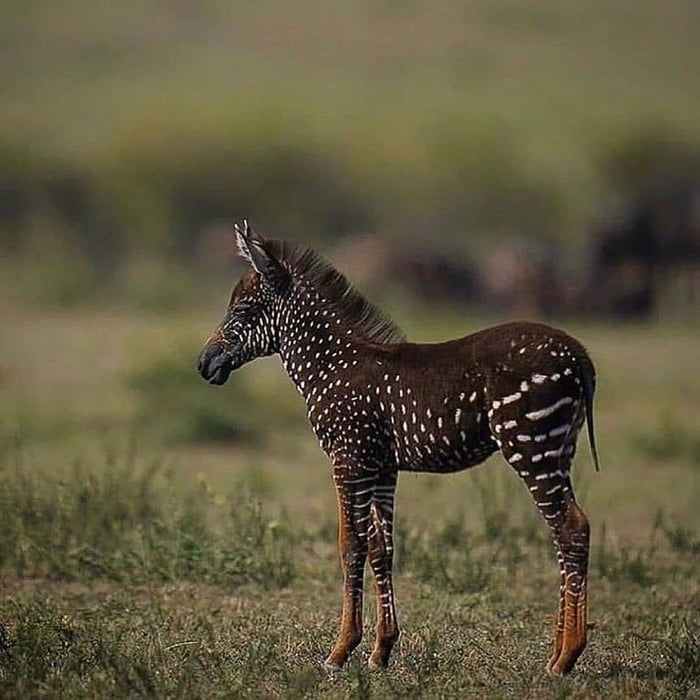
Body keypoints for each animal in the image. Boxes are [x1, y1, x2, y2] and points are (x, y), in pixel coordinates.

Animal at [197, 221, 601, 676]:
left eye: (242, 312)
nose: (204, 364)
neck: (330, 364)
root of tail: (579, 355)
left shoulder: (348, 459)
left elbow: (350, 544)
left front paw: (341, 650)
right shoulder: (382, 466)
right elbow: (381, 548)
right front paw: (381, 650)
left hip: (531, 449)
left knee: (571, 528)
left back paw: (566, 657)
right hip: (558, 451)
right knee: (566, 532)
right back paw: (557, 651)